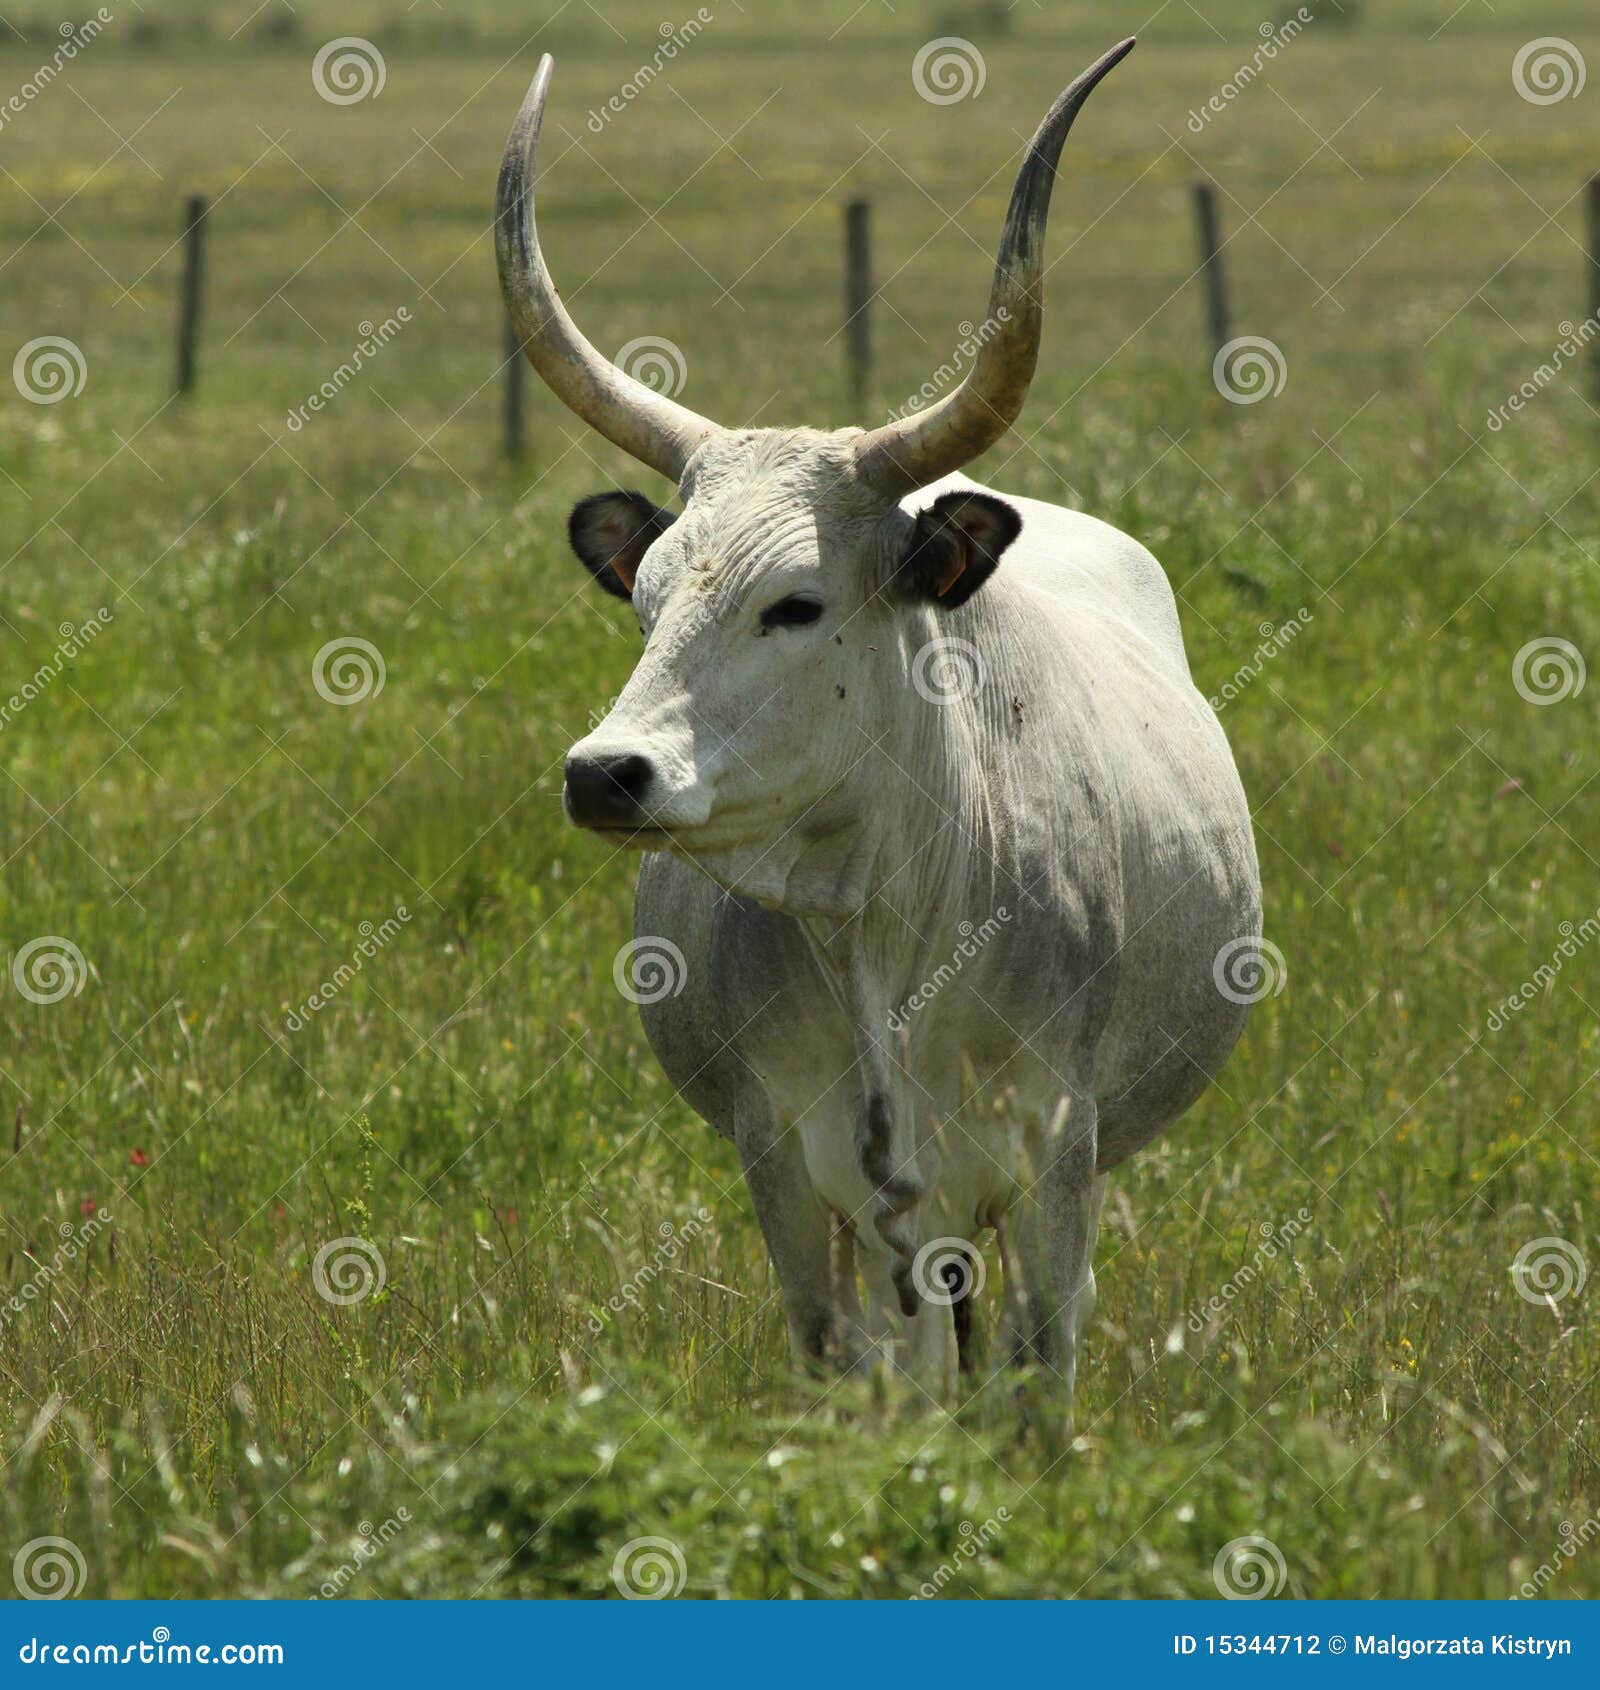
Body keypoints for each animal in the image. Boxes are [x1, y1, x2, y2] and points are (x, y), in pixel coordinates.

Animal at [496, 38, 1262, 1403]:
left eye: (795, 603)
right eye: (643, 596)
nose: (603, 773)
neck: (884, 927)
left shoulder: (1053, 1154)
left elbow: (1040, 1372)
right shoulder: (785, 1165)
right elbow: (846, 1368)